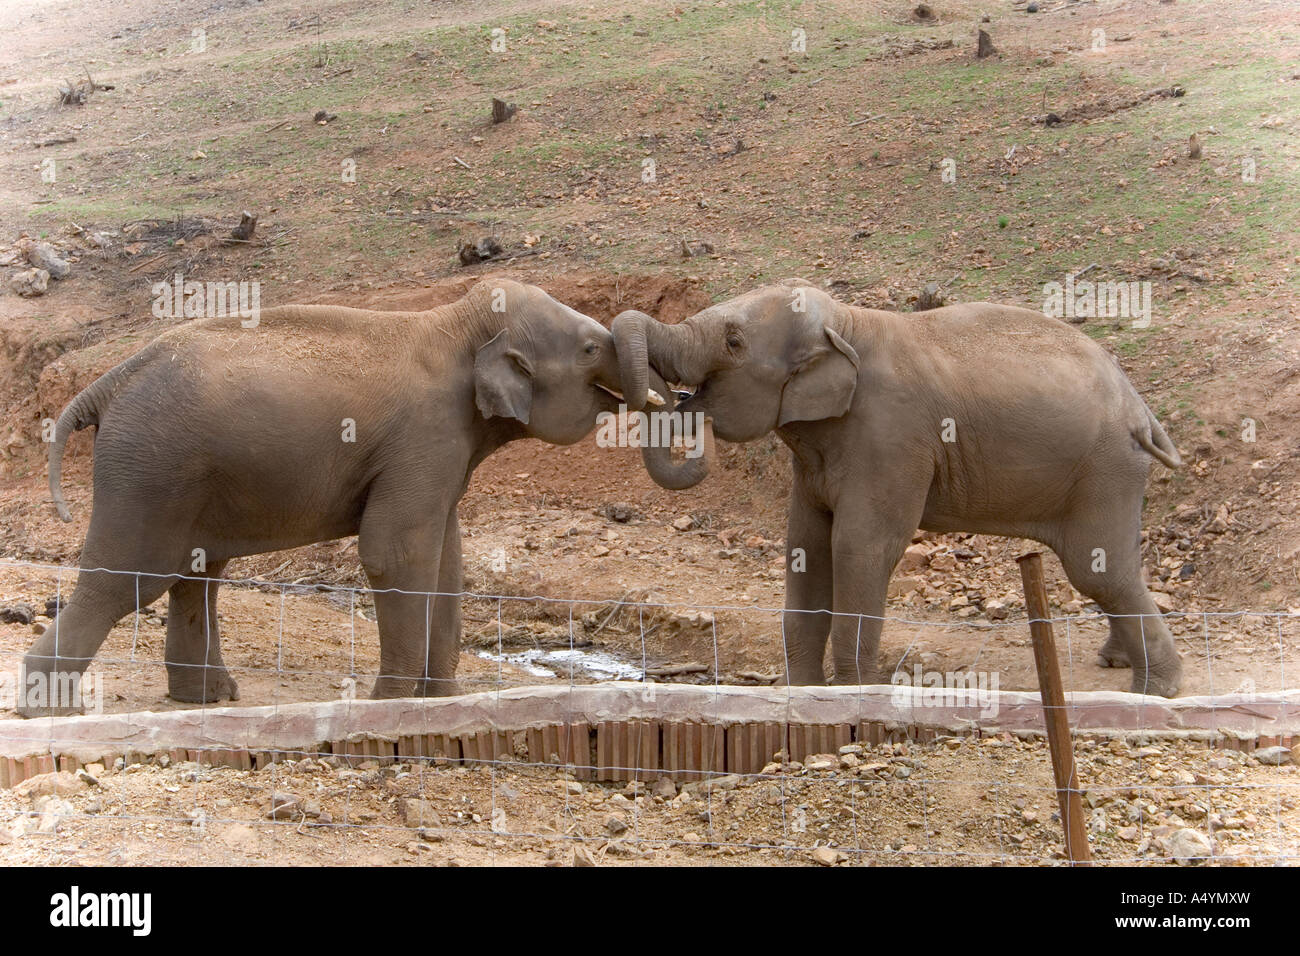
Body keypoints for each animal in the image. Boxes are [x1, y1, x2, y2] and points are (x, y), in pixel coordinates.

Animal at [19, 278, 681, 716]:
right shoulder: (424, 437)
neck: (457, 324)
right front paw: (389, 706)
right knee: (127, 580)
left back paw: (207, 699)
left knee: (196, 575)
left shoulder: (442, 453)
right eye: (591, 349)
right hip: (150, 472)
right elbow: (394, 552)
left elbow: (446, 558)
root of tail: (107, 382)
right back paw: (50, 709)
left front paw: (441, 701)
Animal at [612, 281, 1185, 697]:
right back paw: (1115, 662)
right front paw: (800, 691)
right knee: (1105, 570)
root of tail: (1142, 410)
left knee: (1098, 571)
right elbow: (806, 547)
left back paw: (1155, 691)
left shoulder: (890, 436)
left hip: (1103, 471)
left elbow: (858, 547)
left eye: (733, 342)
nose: (681, 406)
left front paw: (853, 693)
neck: (847, 322)